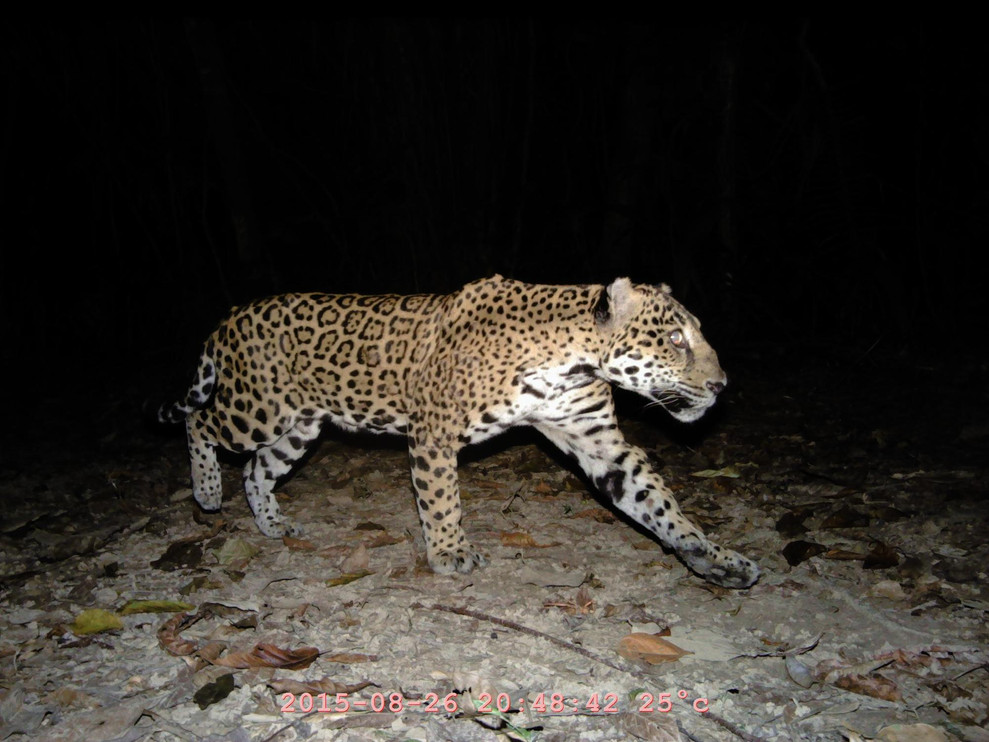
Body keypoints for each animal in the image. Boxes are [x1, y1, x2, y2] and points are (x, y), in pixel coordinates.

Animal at [158, 275, 759, 588]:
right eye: (676, 339)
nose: (722, 385)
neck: (571, 359)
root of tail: (233, 313)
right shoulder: (433, 430)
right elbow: (441, 499)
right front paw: (450, 553)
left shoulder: (600, 443)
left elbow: (658, 503)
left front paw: (714, 556)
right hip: (256, 407)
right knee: (200, 420)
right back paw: (206, 490)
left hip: (301, 425)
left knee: (258, 468)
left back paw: (272, 524)